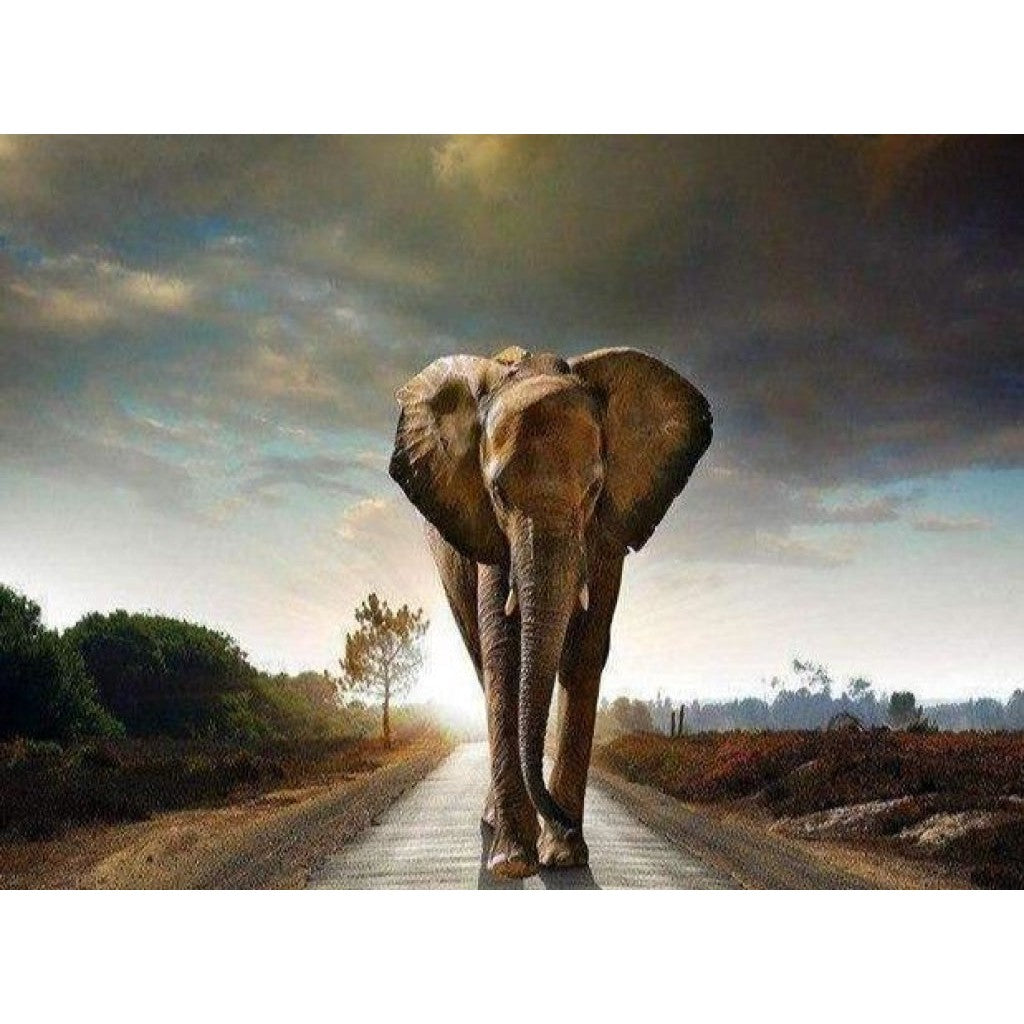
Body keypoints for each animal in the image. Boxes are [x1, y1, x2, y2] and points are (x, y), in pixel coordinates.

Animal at [388, 345, 712, 878]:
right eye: (497, 493)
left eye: (595, 489)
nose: (558, 817)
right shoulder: (486, 529)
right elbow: (504, 651)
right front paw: (512, 862)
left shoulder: (607, 530)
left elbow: (585, 651)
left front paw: (563, 856)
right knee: (481, 660)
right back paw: (494, 823)